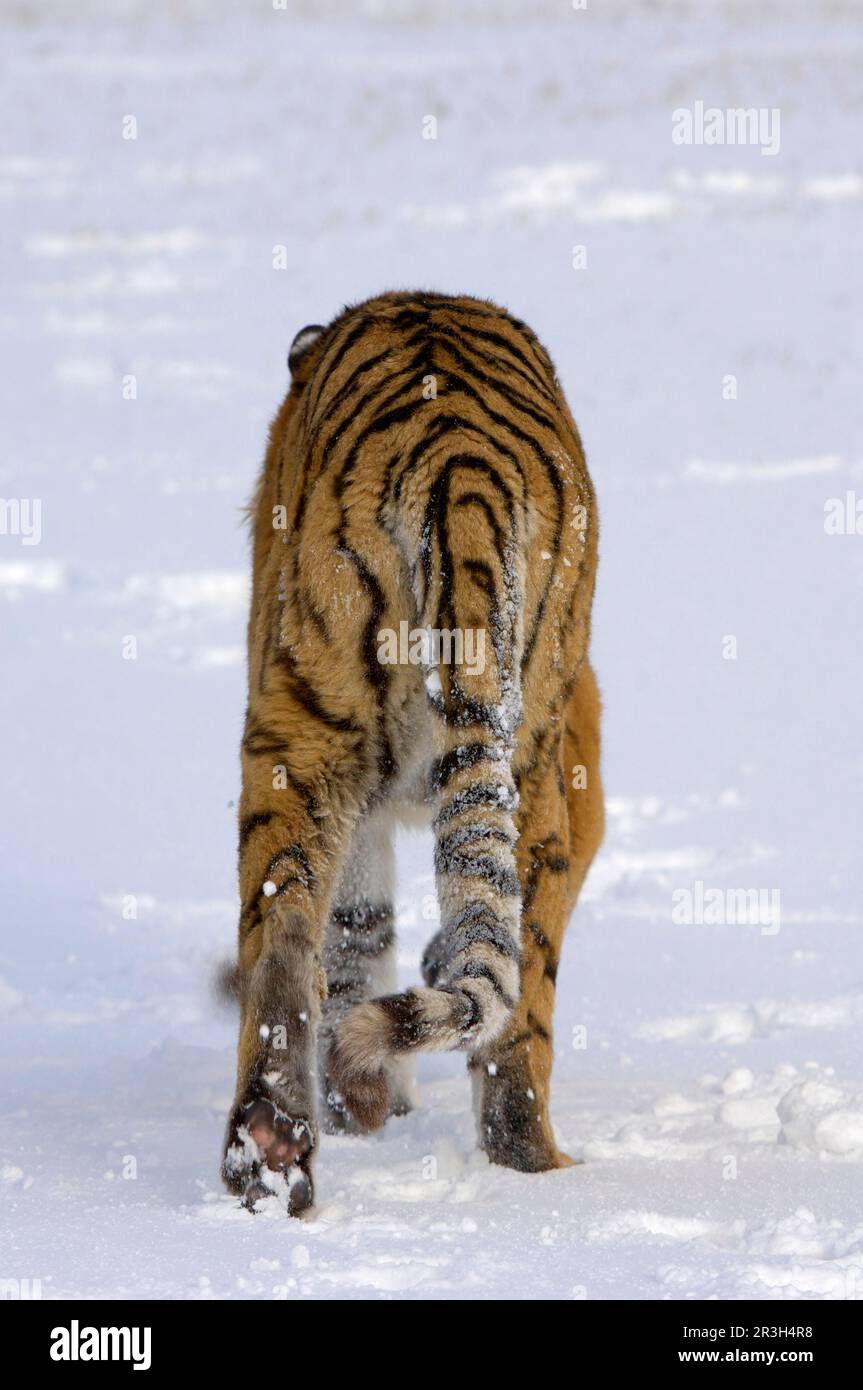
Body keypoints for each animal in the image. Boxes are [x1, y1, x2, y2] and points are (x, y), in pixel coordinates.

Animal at [221, 290, 604, 1215]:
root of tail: (459, 466)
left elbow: (355, 929)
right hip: (513, 765)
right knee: (512, 1016)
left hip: (305, 734)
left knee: (287, 939)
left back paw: (277, 1140)